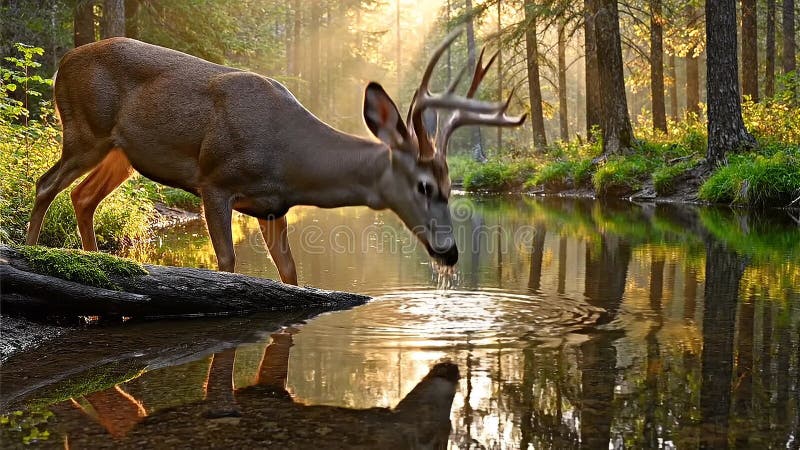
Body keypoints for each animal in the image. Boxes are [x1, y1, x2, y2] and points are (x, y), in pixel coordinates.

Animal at [26, 30, 526, 286]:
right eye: (425, 186)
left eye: (451, 187)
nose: (450, 252)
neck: (289, 158)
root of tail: (62, 62)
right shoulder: (214, 180)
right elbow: (228, 263)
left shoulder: (272, 208)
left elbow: (290, 272)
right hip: (85, 131)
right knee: (45, 183)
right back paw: (29, 255)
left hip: (121, 153)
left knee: (83, 197)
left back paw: (100, 266)